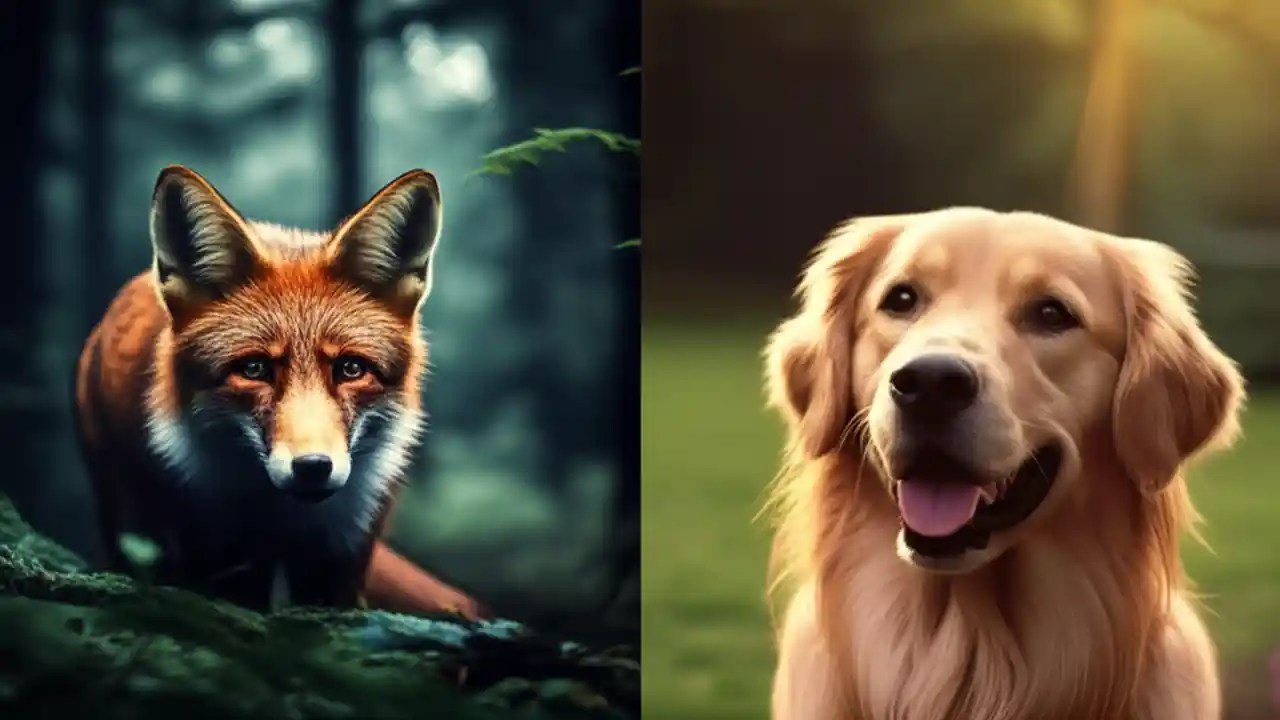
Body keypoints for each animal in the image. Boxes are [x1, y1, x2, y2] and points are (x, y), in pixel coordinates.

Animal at [74, 165, 483, 616]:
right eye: (254, 369)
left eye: (351, 368)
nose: (313, 466)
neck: (279, 516)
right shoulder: (215, 557)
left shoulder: (340, 559)